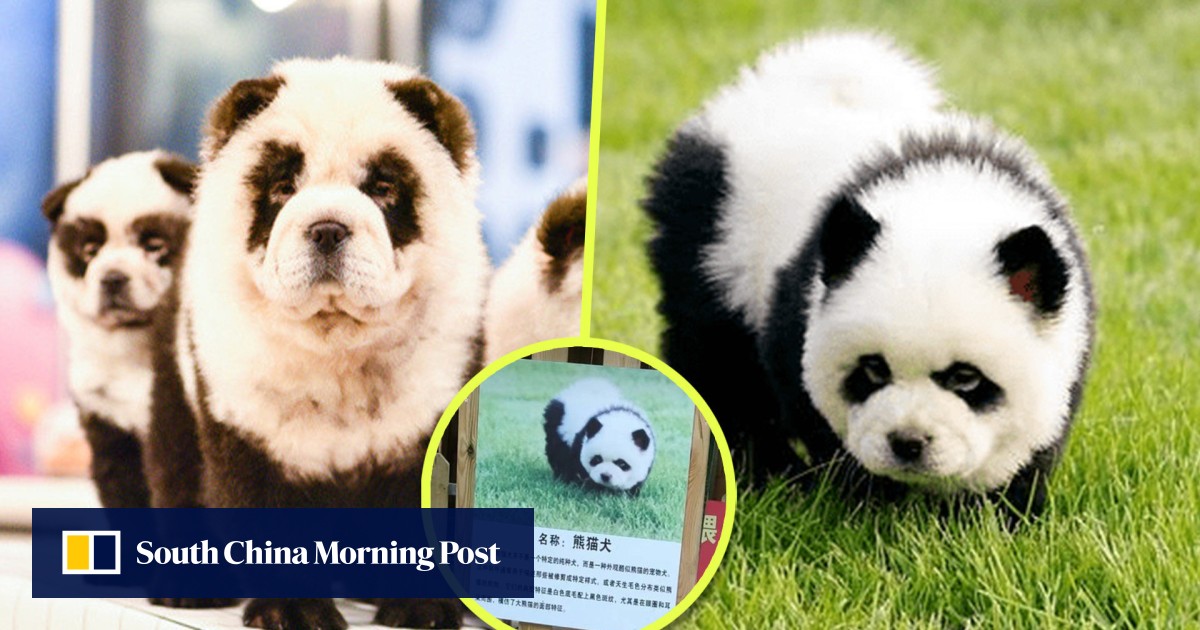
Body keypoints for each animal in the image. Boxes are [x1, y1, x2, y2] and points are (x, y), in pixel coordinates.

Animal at [644, 32, 1094, 521]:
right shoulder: (799, 306)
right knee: (719, 366)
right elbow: (815, 412)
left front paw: (997, 515)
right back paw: (761, 472)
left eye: (965, 378)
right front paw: (869, 507)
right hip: (715, 243)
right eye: (874, 369)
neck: (945, 203)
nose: (908, 443)